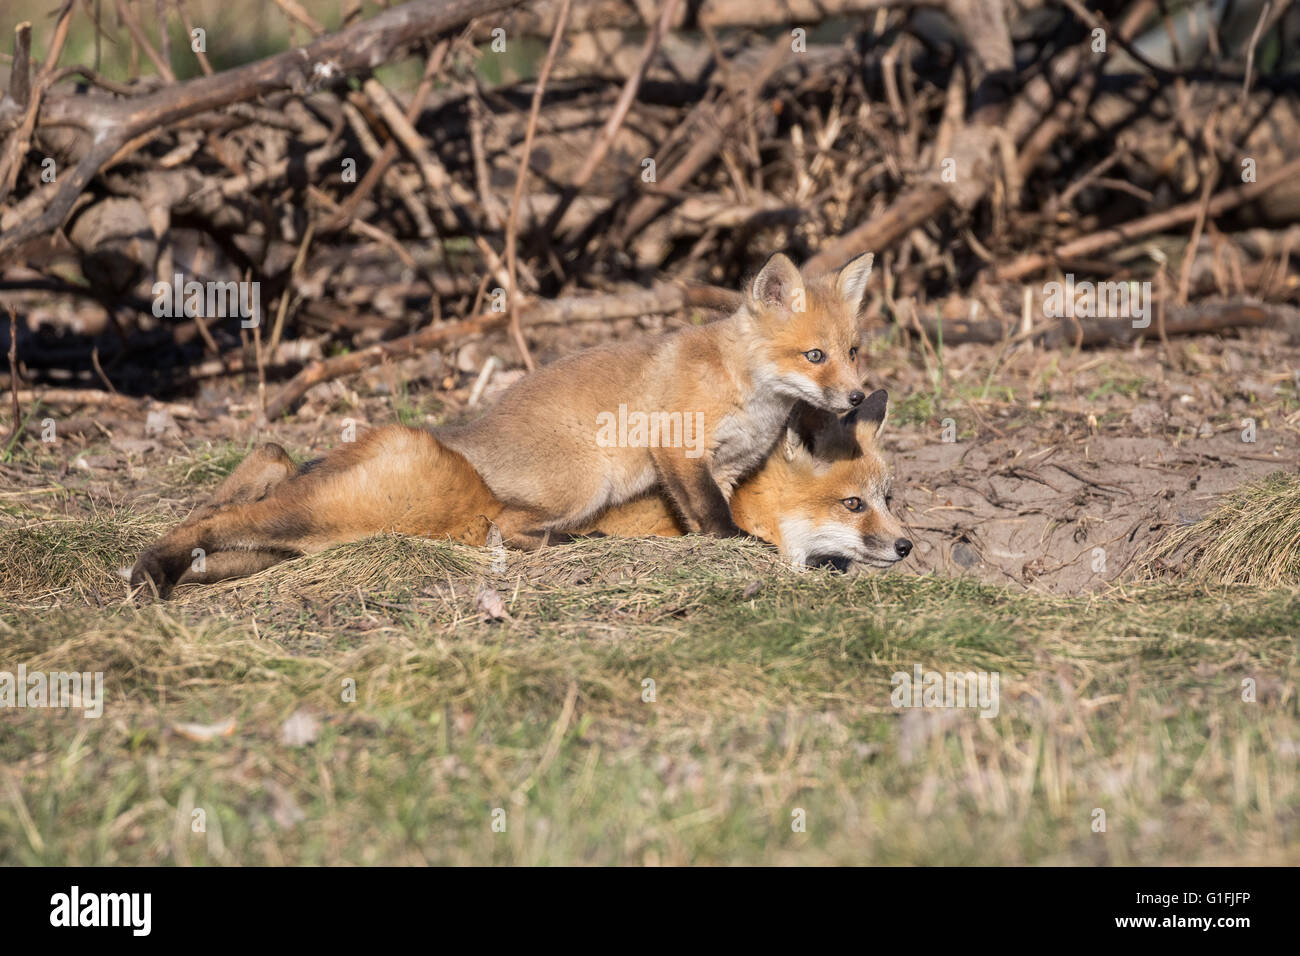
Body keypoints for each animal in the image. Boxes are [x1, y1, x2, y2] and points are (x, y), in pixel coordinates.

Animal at [129, 391, 910, 597]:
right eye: (855, 504)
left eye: (891, 498)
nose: (906, 544)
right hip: (325, 516)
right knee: (220, 511)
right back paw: (146, 570)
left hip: (292, 541)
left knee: (254, 472)